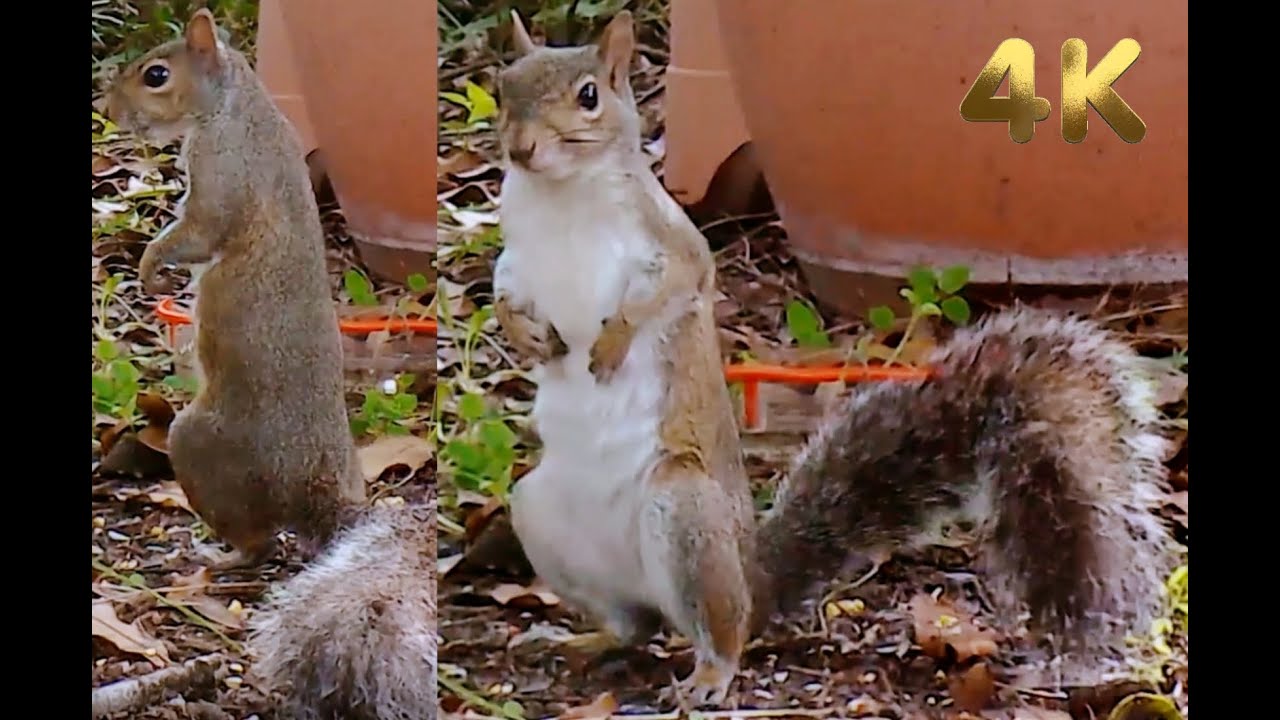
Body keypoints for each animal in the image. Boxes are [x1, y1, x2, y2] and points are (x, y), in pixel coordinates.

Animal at [104, 9, 365, 569]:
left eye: (156, 75)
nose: (106, 109)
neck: (237, 105)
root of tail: (311, 491)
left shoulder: (223, 169)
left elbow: (199, 231)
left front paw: (150, 266)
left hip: (200, 447)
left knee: (258, 541)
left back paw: (218, 557)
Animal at [490, 10, 1180, 706]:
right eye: (503, 87)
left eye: (588, 96)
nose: (520, 149)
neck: (560, 199)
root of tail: (753, 583)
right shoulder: (515, 259)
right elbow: (503, 293)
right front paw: (529, 337)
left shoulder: (673, 244)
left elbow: (673, 286)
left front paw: (611, 341)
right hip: (538, 511)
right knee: (635, 625)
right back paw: (584, 640)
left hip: (684, 516)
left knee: (718, 630)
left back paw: (710, 674)